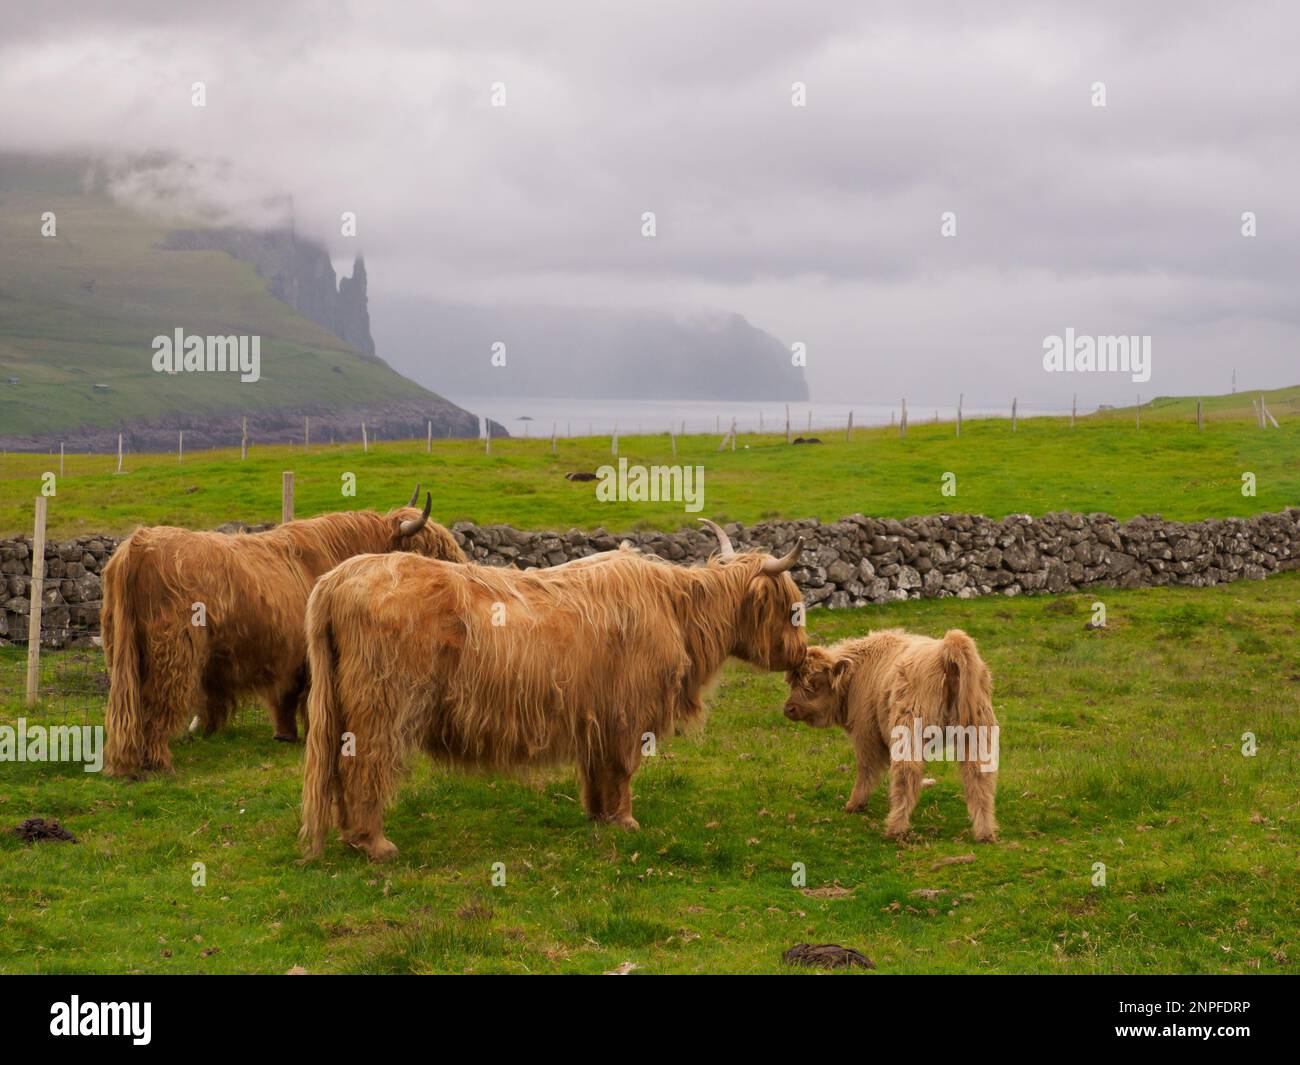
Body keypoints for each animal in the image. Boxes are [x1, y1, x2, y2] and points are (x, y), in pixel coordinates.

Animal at [101, 488, 465, 778]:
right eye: (431, 549)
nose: (461, 573)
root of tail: (139, 543)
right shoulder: (303, 654)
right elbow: (297, 696)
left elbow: (278, 698)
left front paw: (281, 733)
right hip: (173, 650)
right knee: (157, 700)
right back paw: (159, 762)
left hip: (122, 652)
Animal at [299, 519, 807, 861]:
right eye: (793, 608)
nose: (802, 655)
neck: (676, 610)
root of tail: (338, 578)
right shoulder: (627, 713)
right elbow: (622, 769)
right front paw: (627, 821)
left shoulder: (596, 712)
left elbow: (598, 770)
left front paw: (600, 816)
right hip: (383, 706)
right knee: (366, 765)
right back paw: (374, 843)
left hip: (342, 708)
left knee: (338, 767)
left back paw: (349, 835)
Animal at [781, 629, 999, 842]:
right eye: (793, 683)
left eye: (814, 684)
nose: (788, 709)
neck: (857, 674)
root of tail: (946, 649)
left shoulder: (866, 735)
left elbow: (866, 769)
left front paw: (855, 804)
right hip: (976, 733)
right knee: (979, 776)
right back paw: (985, 833)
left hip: (909, 730)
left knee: (906, 773)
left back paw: (895, 828)